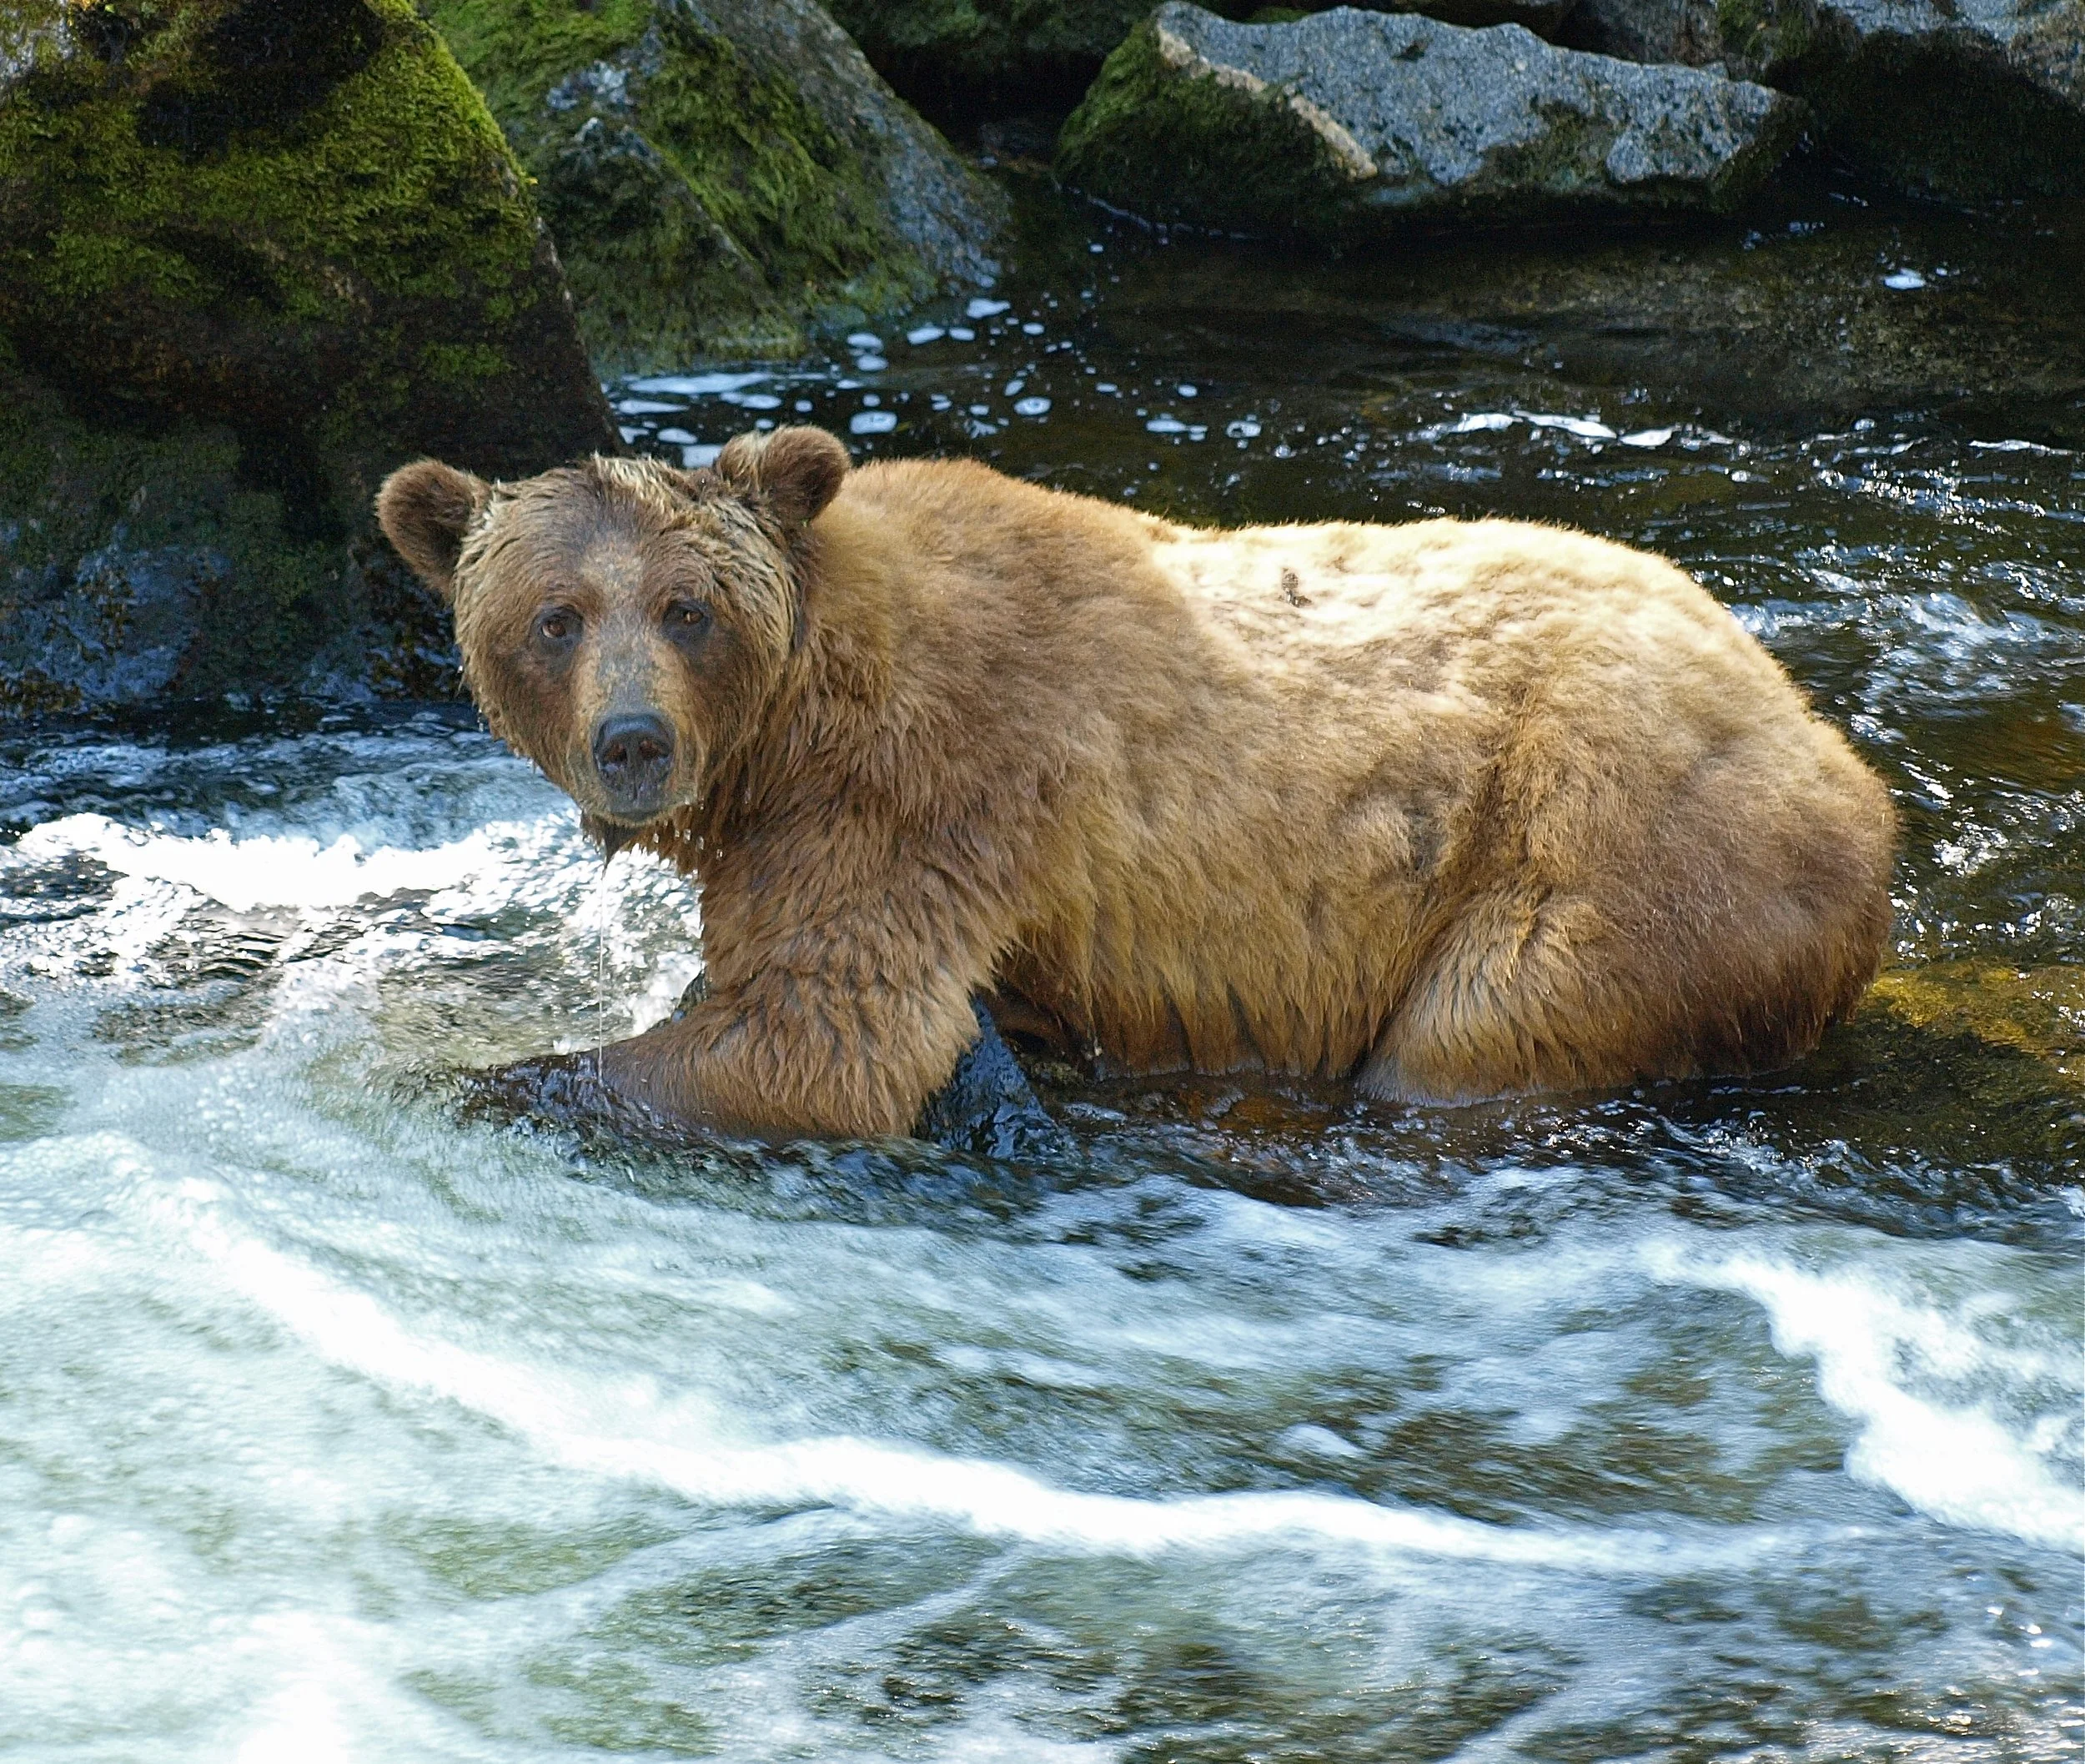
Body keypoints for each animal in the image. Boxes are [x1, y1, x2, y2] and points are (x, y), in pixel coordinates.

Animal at [377, 425, 1896, 1140]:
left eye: (687, 608)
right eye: (556, 616)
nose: (634, 740)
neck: (795, 722)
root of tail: (1848, 770)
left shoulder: (919, 793)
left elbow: (819, 1039)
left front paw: (462, 1080)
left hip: (1601, 853)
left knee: (1478, 1033)